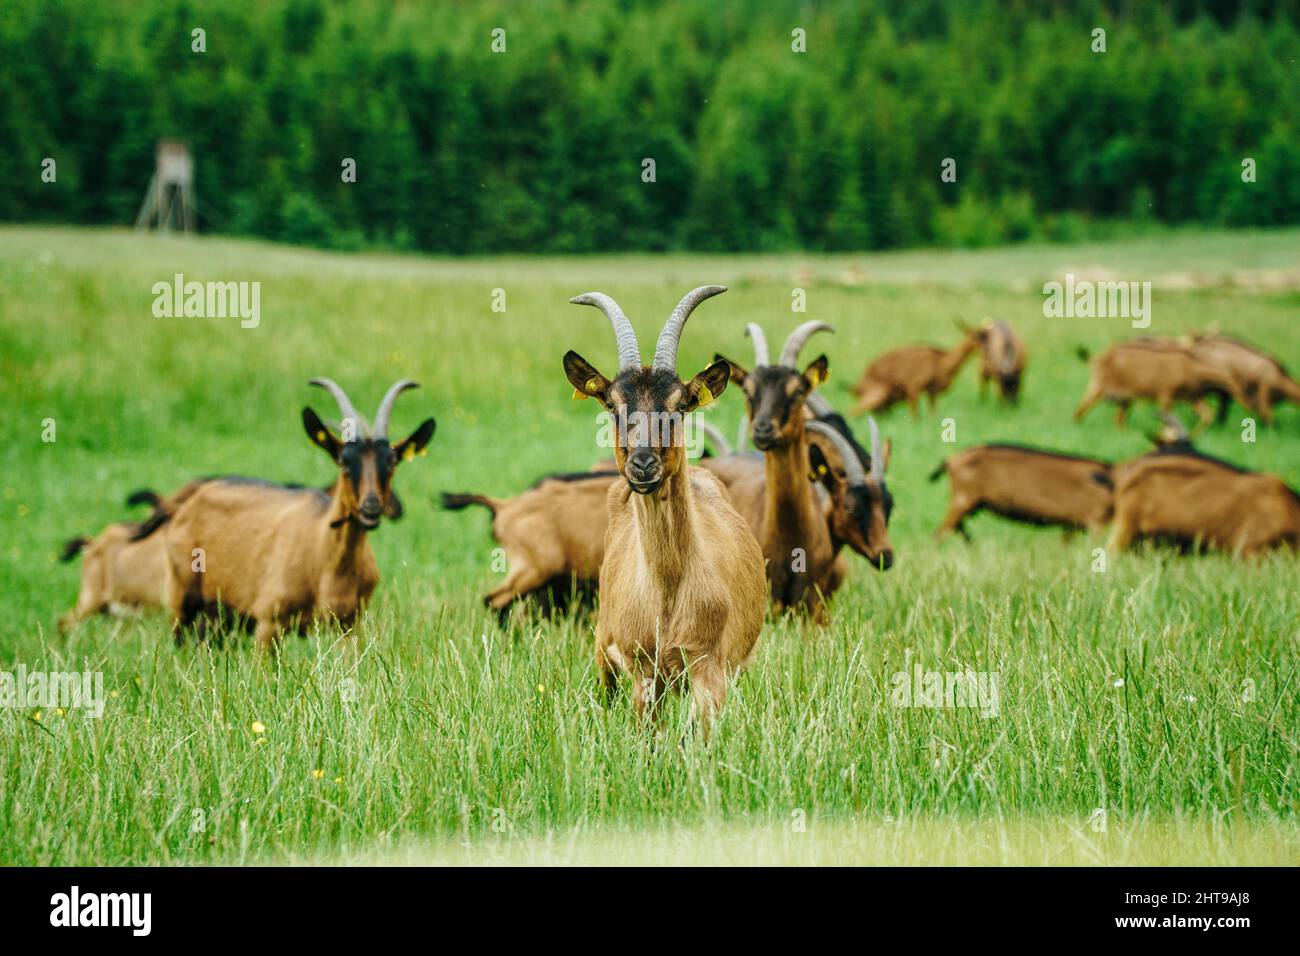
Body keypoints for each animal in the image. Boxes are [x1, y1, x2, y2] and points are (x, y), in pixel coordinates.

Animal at [151, 379, 435, 650]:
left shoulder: (349, 626)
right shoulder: (269, 622)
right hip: (182, 599)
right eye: (344, 461)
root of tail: (188, 503)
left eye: (391, 462)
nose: (371, 507)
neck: (326, 561)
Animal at [564, 286, 766, 727]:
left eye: (681, 405)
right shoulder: (643, 669)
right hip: (604, 651)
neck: (668, 594)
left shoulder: (709, 668)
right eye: (612, 405)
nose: (643, 463)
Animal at [850, 327, 979, 416]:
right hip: (876, 396)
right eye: (979, 337)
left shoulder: (931, 393)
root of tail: (856, 388)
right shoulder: (914, 389)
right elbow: (917, 417)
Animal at [929, 445, 1113, 540]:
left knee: (956, 529)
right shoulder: (1095, 520)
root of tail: (950, 460)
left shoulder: (1074, 525)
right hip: (963, 499)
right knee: (941, 532)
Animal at [1073, 339, 1247, 430]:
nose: (1223, 419)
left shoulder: (1191, 398)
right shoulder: (1166, 396)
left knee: (1118, 419)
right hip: (1100, 387)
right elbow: (1166, 420)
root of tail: (1100, 357)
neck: (1191, 366)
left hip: (1125, 397)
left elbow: (1207, 415)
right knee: (1081, 409)